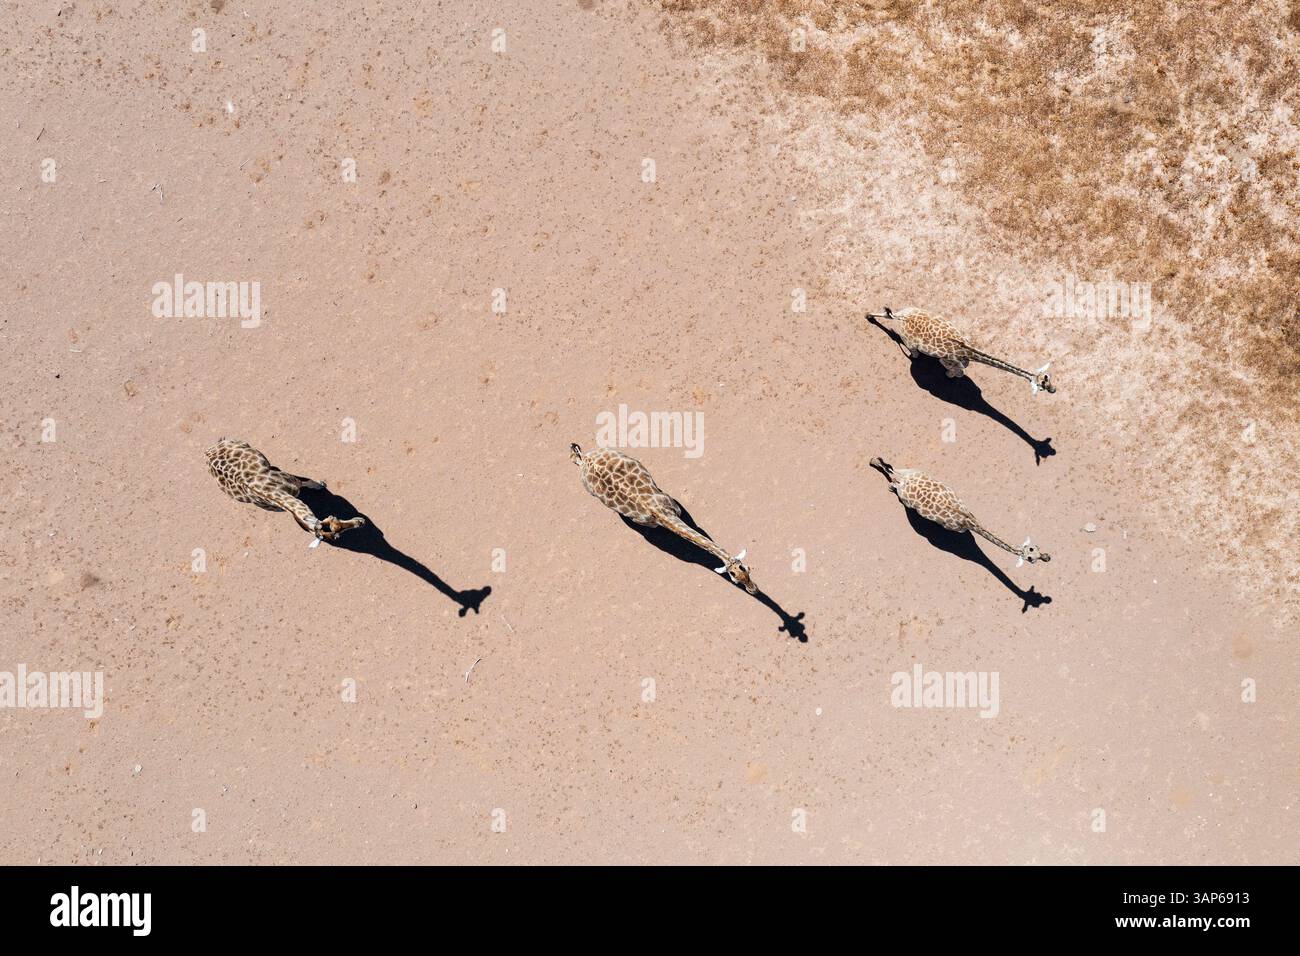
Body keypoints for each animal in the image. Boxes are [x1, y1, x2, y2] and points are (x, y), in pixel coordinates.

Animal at [205, 438, 365, 542]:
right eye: (340, 528)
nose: (361, 522)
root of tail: (208, 450)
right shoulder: (292, 480)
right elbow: (307, 481)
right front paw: (320, 484)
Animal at [569, 443, 757, 593]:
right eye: (734, 578)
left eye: (748, 569)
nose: (753, 589)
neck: (662, 513)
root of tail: (586, 458)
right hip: (589, 488)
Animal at [867, 306, 1056, 394]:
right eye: (1042, 385)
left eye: (1049, 377)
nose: (1054, 390)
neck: (969, 353)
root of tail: (905, 318)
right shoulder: (947, 361)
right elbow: (957, 373)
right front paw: (949, 376)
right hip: (909, 340)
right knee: (910, 349)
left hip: (909, 309)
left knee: (889, 314)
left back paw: (868, 316)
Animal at [869, 457, 1050, 566]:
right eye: (1030, 558)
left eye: (1036, 549)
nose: (1047, 558)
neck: (969, 520)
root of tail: (906, 481)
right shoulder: (953, 528)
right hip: (905, 498)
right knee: (892, 478)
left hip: (912, 469)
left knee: (890, 467)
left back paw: (874, 461)